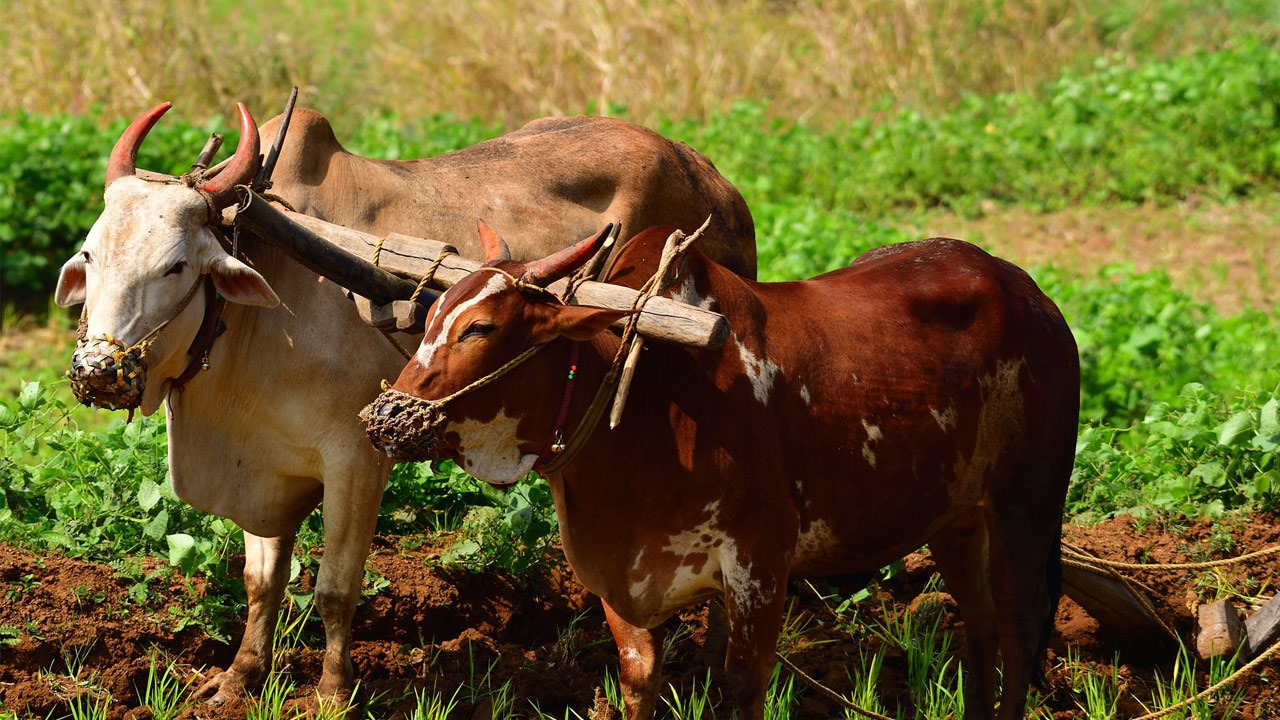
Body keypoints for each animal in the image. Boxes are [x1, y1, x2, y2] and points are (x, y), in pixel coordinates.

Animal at [52, 103, 756, 705]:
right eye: (90, 253)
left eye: (174, 266)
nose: (95, 372)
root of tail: (717, 181)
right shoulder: (266, 463)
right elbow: (261, 582)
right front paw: (237, 680)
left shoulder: (357, 459)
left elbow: (335, 590)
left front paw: (332, 693)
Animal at [363, 224, 1080, 720]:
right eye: (431, 316)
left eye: (480, 328)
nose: (382, 418)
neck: (644, 394)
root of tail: (1029, 292)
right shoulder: (622, 584)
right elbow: (640, 679)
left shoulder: (760, 566)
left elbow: (740, 686)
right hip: (956, 517)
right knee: (979, 624)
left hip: (1028, 504)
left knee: (1018, 626)